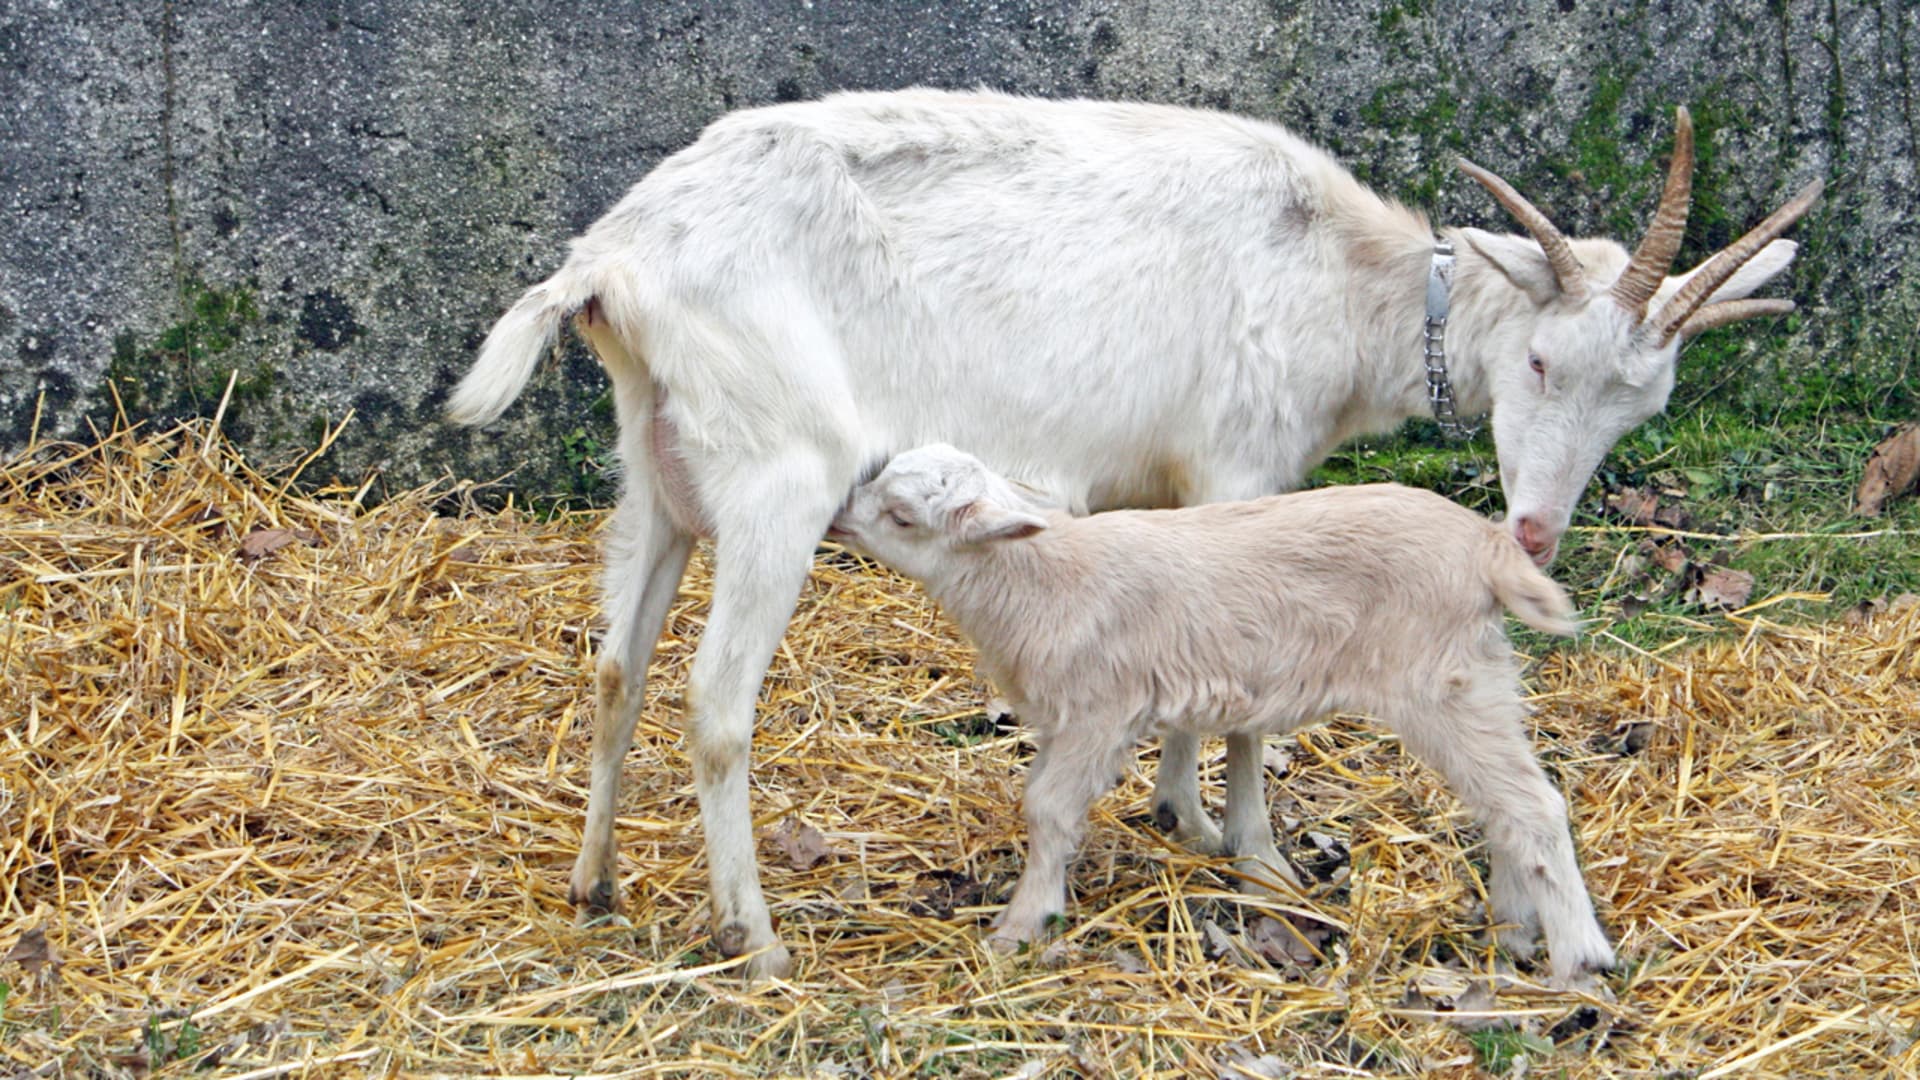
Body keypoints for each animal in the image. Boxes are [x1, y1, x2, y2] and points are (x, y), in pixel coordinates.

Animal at [829, 444, 1613, 982]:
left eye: (901, 516)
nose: (835, 515)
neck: (1042, 580)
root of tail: (1488, 549)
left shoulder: (1098, 710)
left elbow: (1047, 807)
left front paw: (1021, 925)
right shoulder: (1075, 714)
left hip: (1443, 683)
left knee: (1533, 806)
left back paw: (1580, 959)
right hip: (1477, 679)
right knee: (1504, 806)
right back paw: (1515, 930)